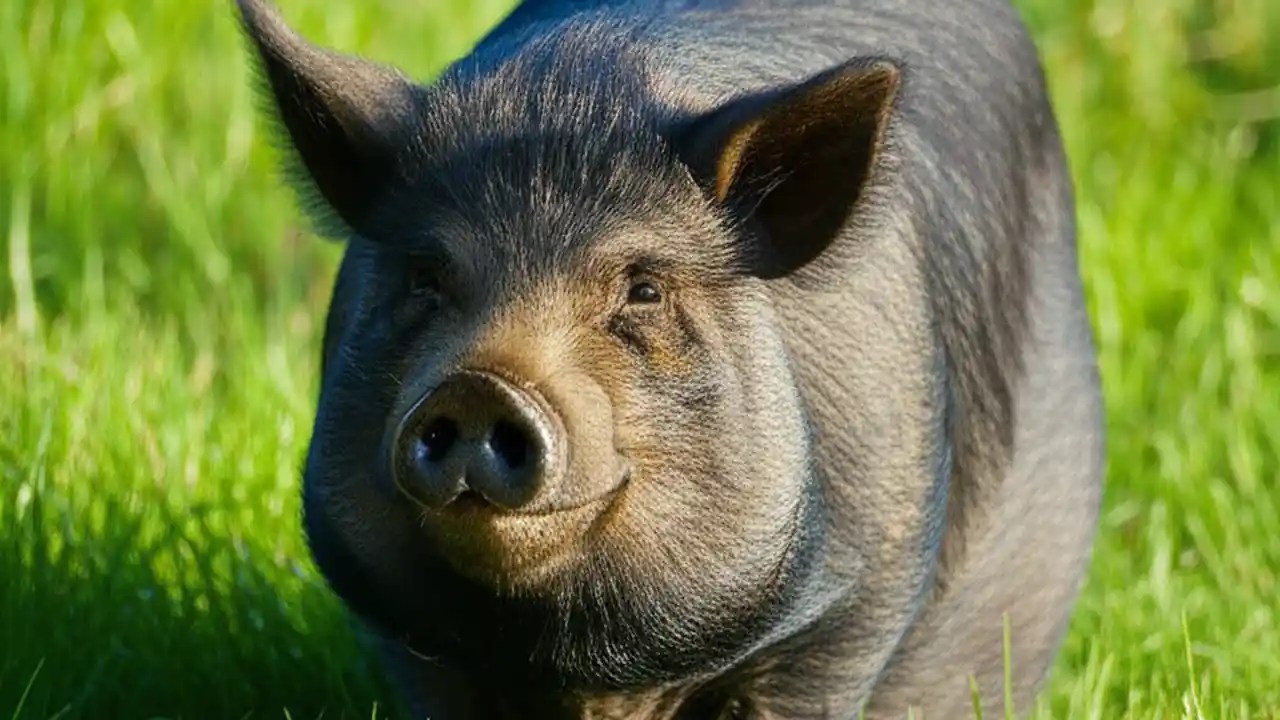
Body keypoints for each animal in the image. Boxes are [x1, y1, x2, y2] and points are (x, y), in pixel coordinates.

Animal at [234, 0, 1104, 717]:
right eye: (425, 276)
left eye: (643, 289)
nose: (481, 384)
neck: (583, 672)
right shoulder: (414, 644)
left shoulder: (850, 610)